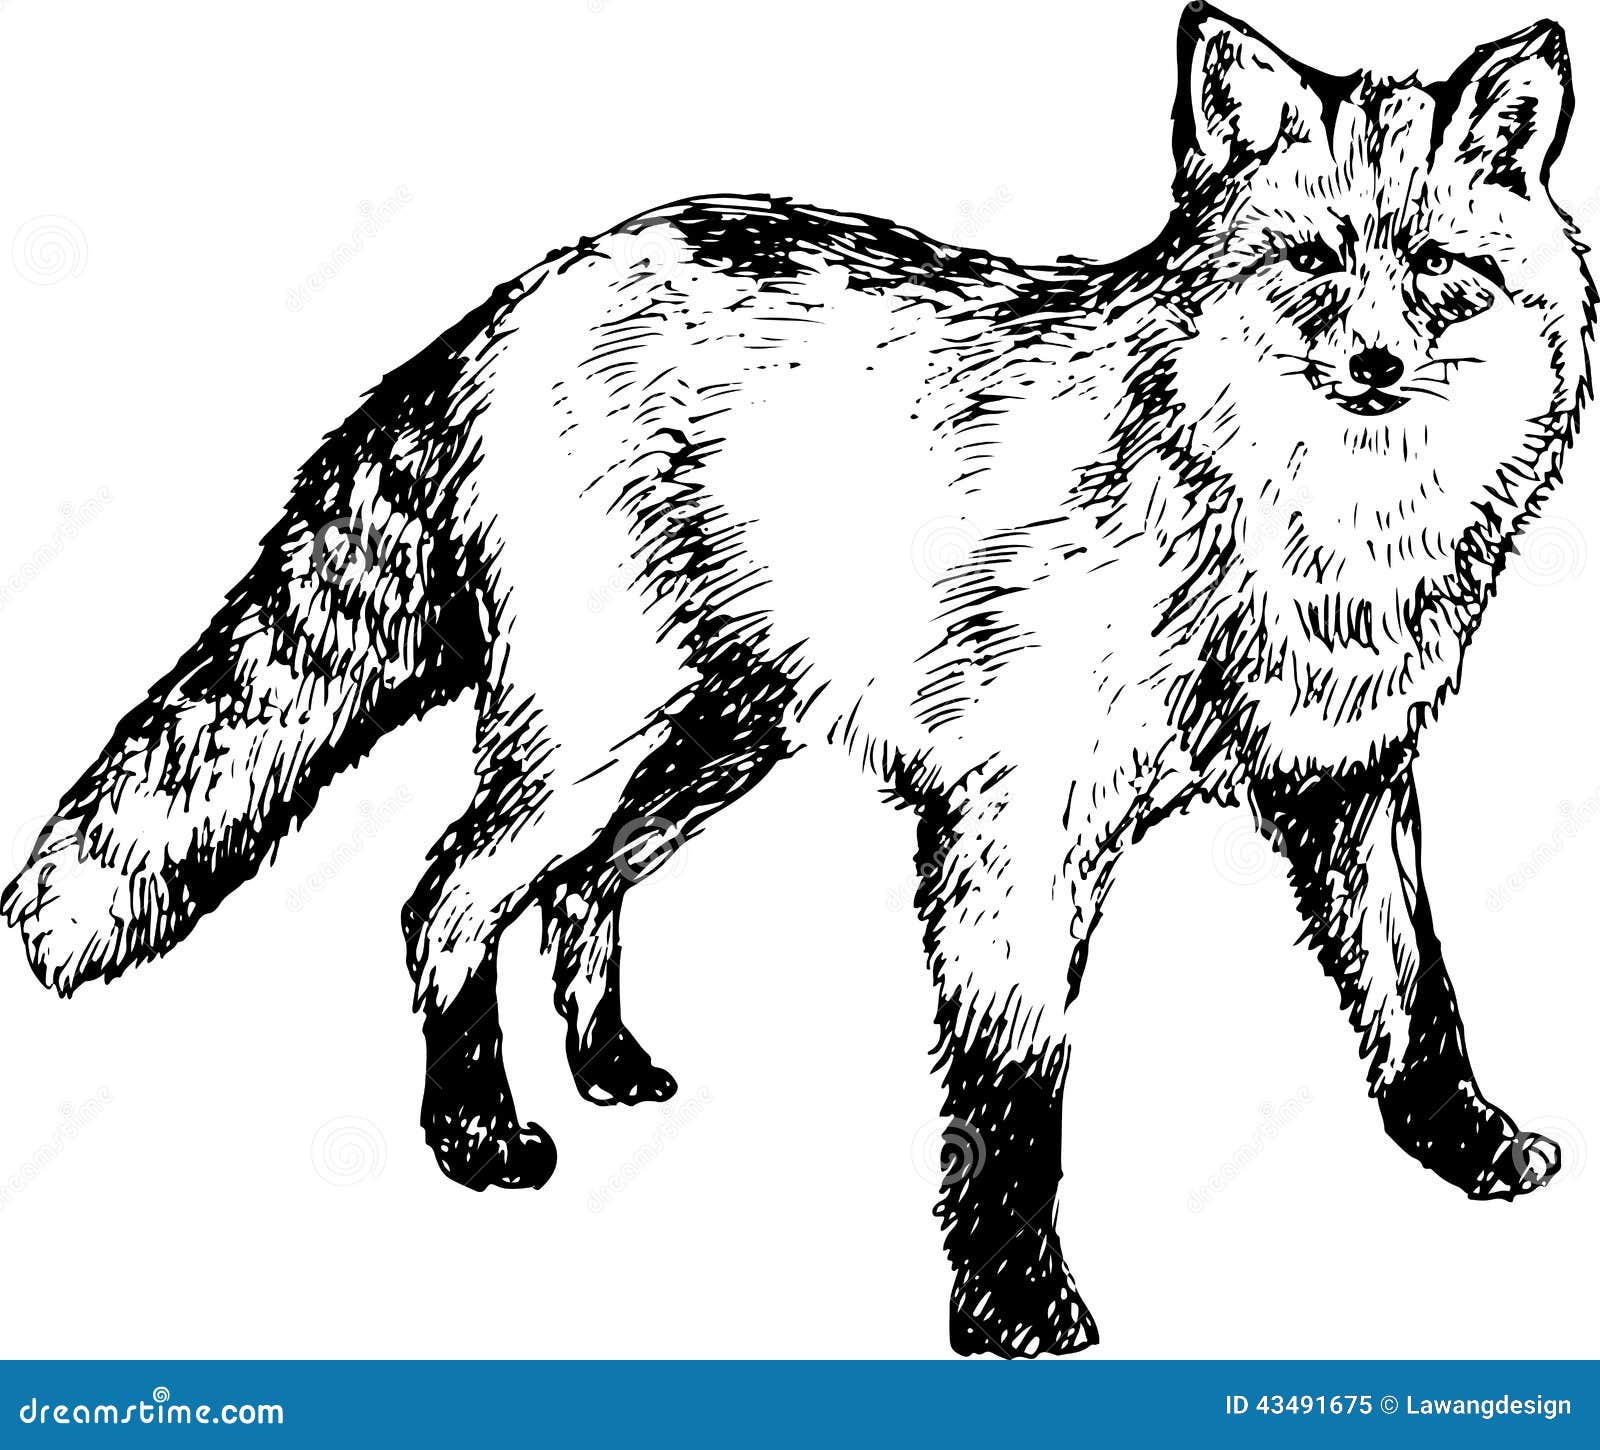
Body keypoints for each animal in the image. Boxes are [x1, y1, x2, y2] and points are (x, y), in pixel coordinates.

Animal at [3, 4, 1591, 1357]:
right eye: (1314, 264)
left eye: (1440, 276)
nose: (1376, 365)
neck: (1310, 533)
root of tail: (521, 290)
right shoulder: (1016, 827)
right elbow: (1012, 1100)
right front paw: (1011, 1302)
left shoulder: (1349, 783)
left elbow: (1418, 997)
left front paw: (1459, 1143)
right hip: (589, 742)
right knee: (446, 900)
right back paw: (474, 1132)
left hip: (705, 746)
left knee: (576, 893)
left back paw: (606, 1062)